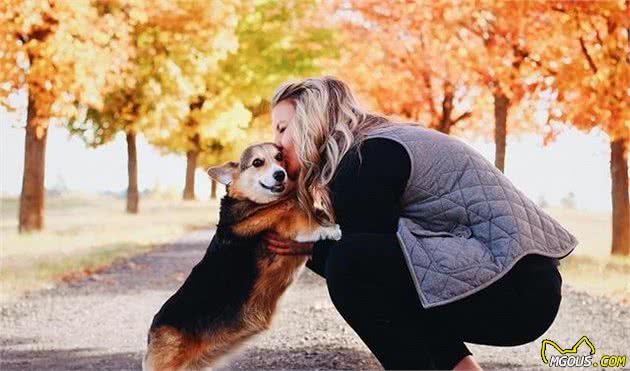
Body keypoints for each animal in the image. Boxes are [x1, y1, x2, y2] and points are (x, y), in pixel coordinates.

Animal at [144, 143, 344, 371]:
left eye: (279, 157)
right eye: (257, 162)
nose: (280, 174)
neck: (255, 202)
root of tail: (151, 331)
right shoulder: (286, 223)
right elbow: (302, 218)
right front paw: (331, 229)